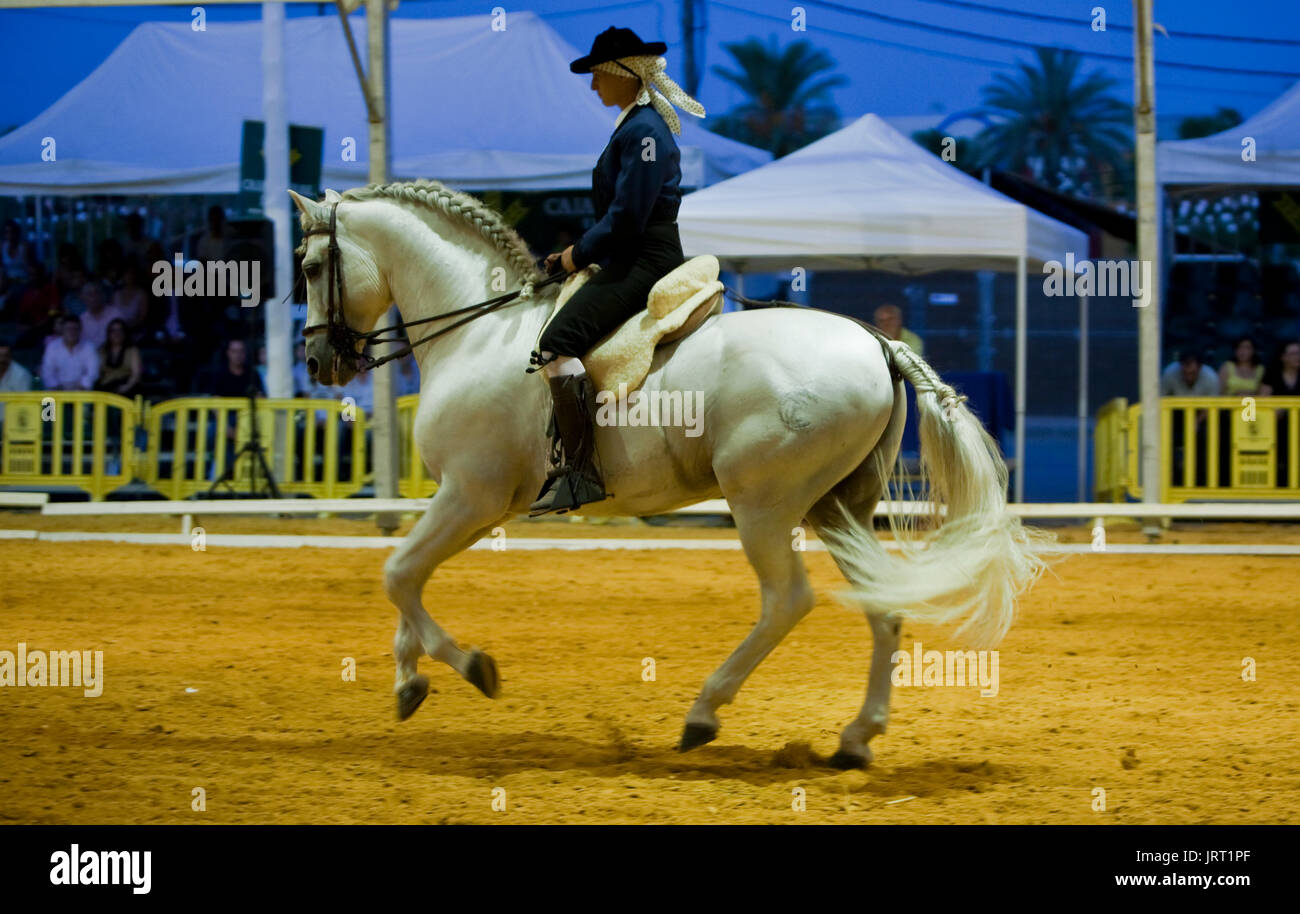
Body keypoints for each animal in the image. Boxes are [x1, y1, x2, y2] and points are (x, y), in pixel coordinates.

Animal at [289, 180, 1049, 768]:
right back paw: (856, 739)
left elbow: (398, 573)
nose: (320, 363)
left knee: (787, 600)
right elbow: (406, 577)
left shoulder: (470, 496)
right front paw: (407, 681)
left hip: (765, 504)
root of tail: (878, 343)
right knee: (883, 605)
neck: (478, 334)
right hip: (839, 507)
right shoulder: (476, 506)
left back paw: (703, 714)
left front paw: (472, 668)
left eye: (310, 264)